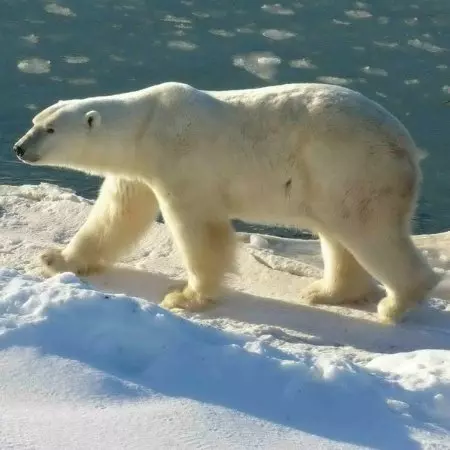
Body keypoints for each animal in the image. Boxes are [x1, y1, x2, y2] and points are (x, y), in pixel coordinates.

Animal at [13, 80, 440, 320]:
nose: (19, 148)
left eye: (50, 129)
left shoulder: (182, 162)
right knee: (337, 235)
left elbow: (199, 229)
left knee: (369, 231)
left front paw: (185, 296)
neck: (147, 124)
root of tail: (407, 146)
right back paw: (327, 291)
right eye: (34, 121)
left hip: (353, 168)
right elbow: (116, 214)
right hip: (331, 181)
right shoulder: (139, 172)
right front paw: (57, 259)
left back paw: (396, 302)